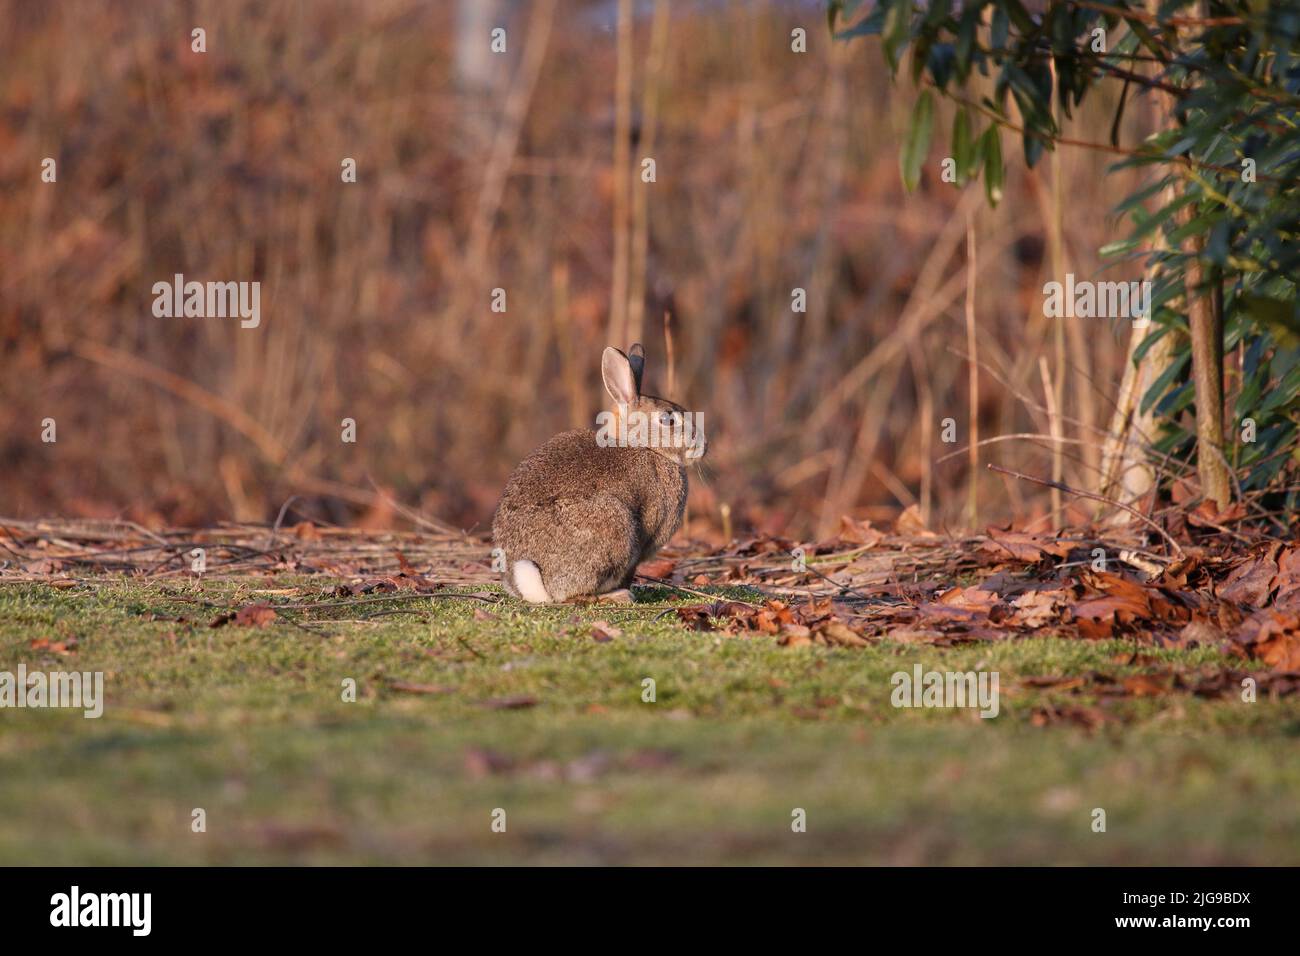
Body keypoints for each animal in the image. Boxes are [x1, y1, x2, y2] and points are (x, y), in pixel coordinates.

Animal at [492, 343, 706, 603]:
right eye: (667, 419)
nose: (702, 446)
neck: (646, 447)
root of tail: (537, 585)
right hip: (614, 522)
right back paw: (618, 595)